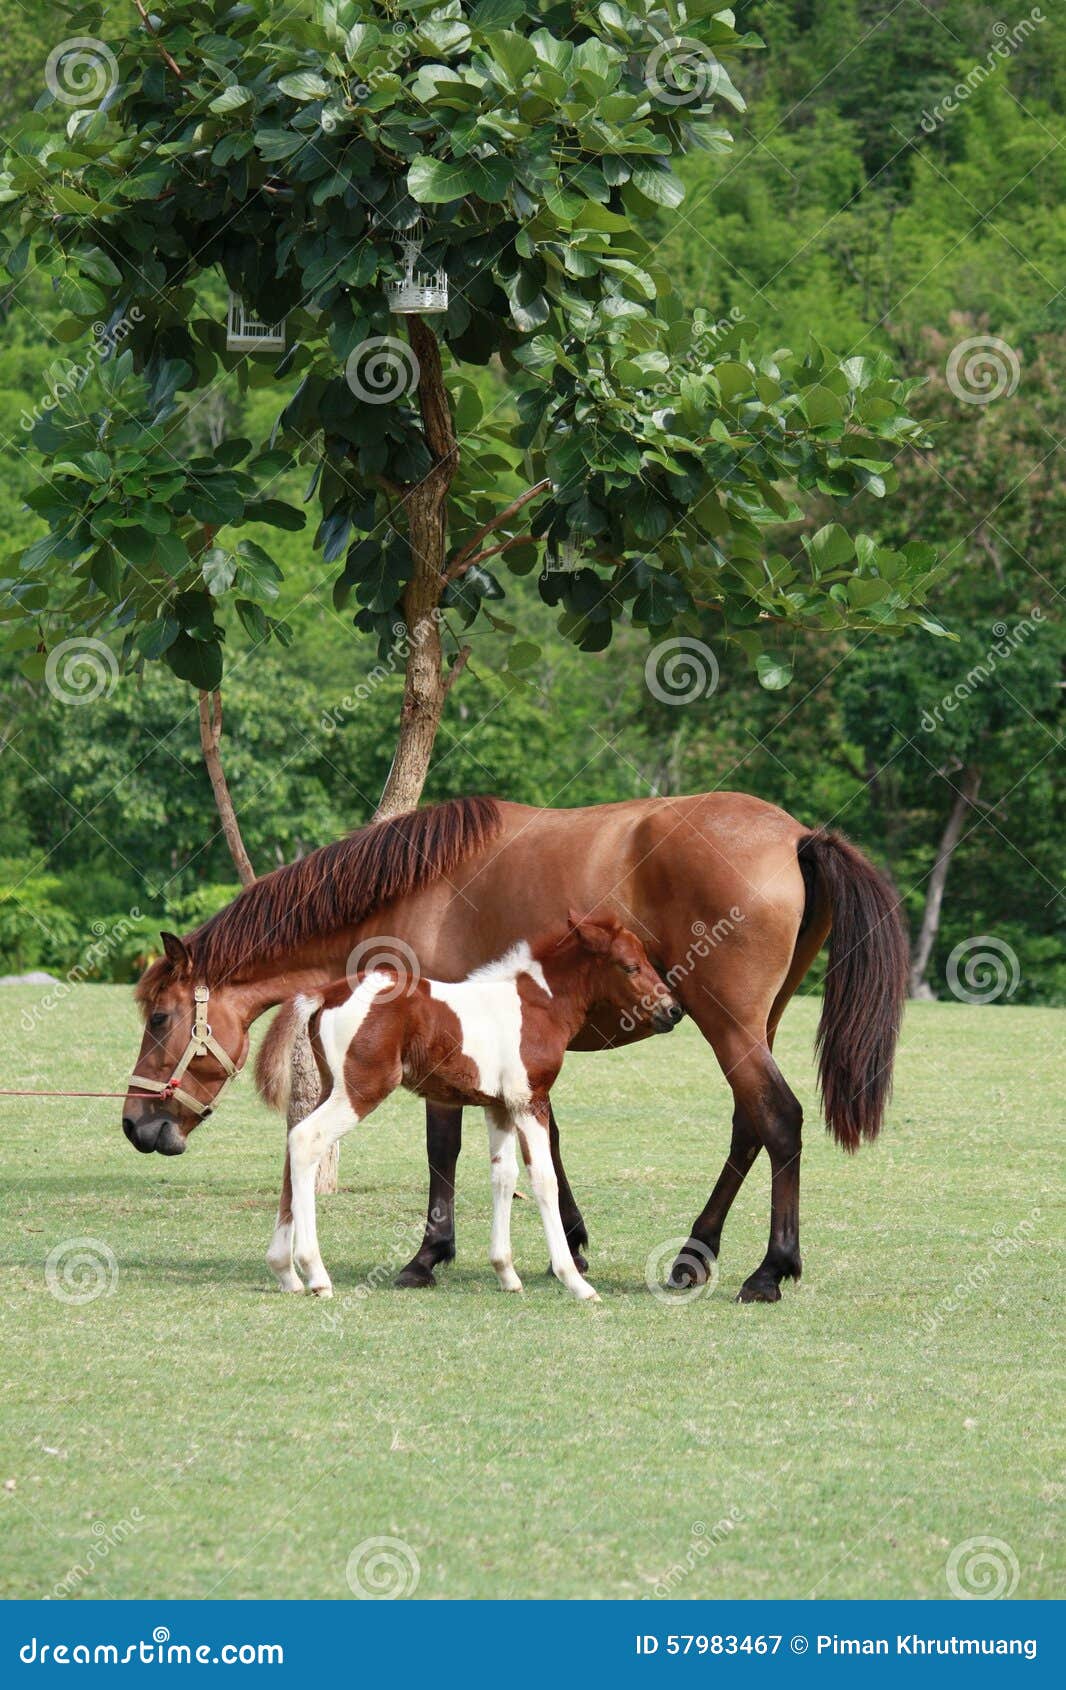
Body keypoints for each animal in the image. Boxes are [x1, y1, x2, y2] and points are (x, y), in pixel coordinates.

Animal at [251, 911, 682, 1300]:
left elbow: (504, 1176)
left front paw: (506, 1273)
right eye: (630, 966)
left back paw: (284, 1270)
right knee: (306, 1139)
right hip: (361, 1090)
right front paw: (575, 1281)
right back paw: (314, 1273)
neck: (537, 1006)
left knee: (293, 1142)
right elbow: (544, 1179)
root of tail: (326, 992)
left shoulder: (500, 1107)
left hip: (331, 1087)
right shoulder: (530, 1101)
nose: (673, 1010)